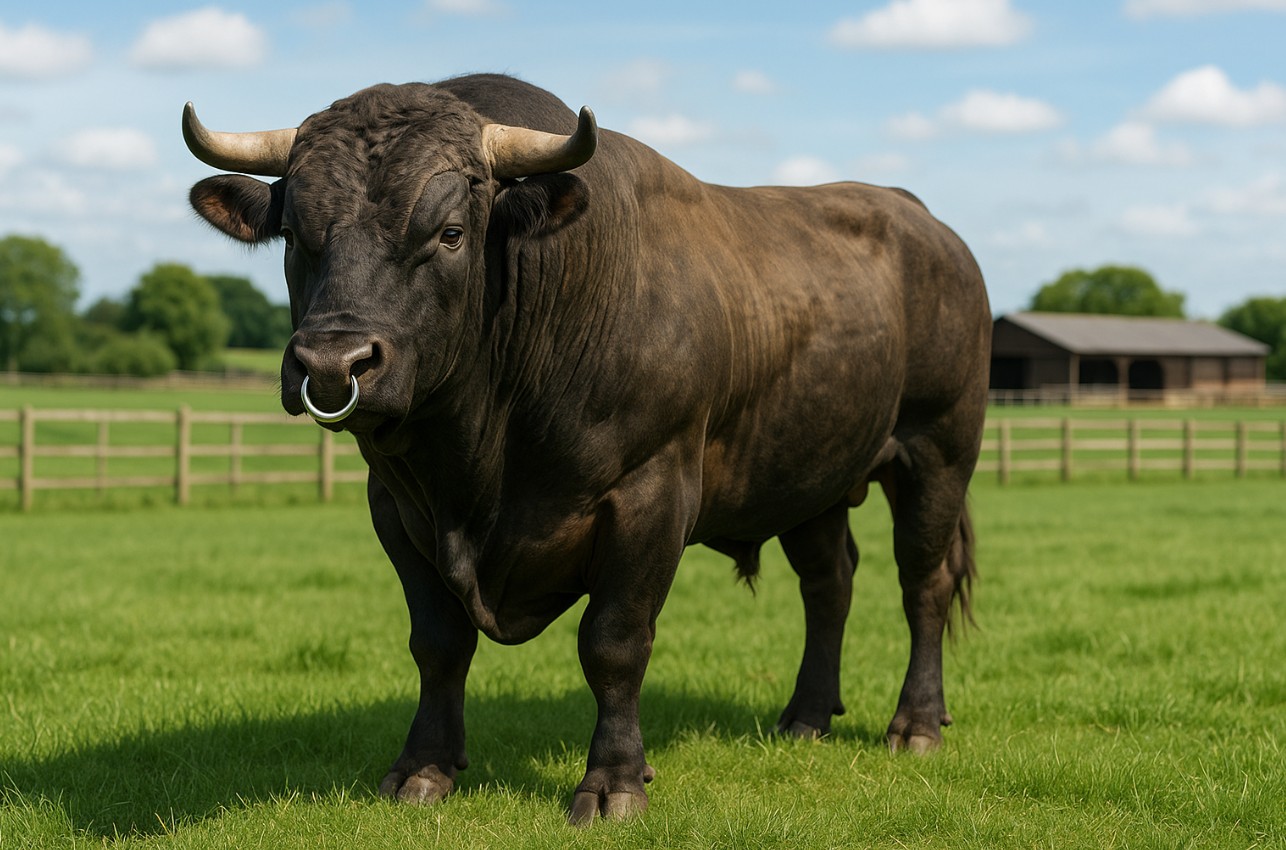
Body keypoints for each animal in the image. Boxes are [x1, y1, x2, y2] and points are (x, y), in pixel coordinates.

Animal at [182, 73, 991, 824]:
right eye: (295, 235)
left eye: (449, 233)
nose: (331, 364)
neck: (477, 459)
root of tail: (918, 216)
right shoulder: (397, 507)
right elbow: (438, 642)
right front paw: (423, 768)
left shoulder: (651, 494)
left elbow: (613, 643)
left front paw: (613, 783)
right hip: (809, 475)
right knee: (829, 583)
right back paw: (806, 718)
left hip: (938, 451)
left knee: (922, 582)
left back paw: (916, 724)